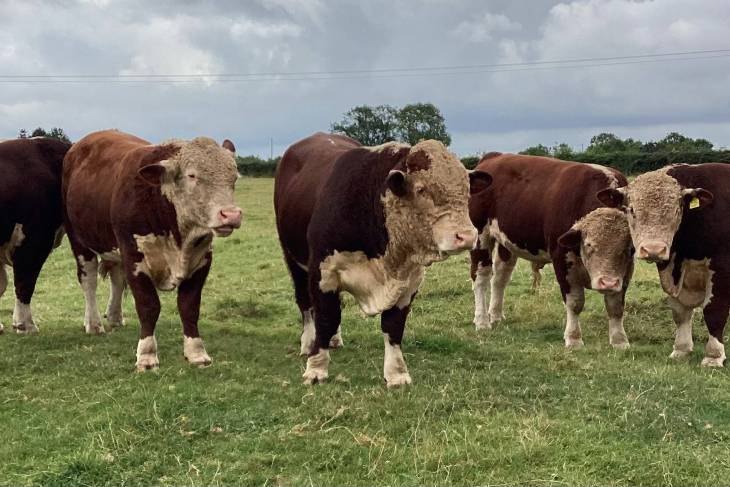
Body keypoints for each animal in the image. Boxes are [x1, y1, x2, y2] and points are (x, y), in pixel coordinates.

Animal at [62, 130, 242, 371]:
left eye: (234, 177)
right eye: (192, 176)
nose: (231, 215)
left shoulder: (202, 260)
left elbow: (189, 307)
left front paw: (196, 352)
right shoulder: (134, 258)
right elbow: (148, 306)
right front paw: (147, 355)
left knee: (117, 280)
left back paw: (115, 317)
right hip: (79, 239)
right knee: (88, 280)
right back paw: (93, 323)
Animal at [274, 132, 492, 386]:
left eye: (467, 191)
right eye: (421, 189)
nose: (466, 236)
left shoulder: (409, 280)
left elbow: (393, 326)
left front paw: (396, 373)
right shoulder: (323, 271)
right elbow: (326, 317)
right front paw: (316, 368)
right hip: (294, 260)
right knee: (306, 304)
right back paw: (309, 341)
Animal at [469, 153, 634, 349]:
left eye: (628, 249)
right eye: (588, 245)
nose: (607, 283)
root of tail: (494, 156)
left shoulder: (625, 271)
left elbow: (615, 306)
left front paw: (619, 340)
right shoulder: (562, 258)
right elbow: (575, 302)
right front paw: (573, 338)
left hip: (506, 242)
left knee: (500, 278)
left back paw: (495, 315)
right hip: (480, 236)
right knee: (481, 277)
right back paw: (482, 321)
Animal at [597, 164, 726, 366]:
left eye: (676, 210)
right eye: (631, 210)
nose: (653, 249)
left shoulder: (721, 267)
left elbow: (714, 311)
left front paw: (713, 356)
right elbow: (680, 312)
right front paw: (681, 349)